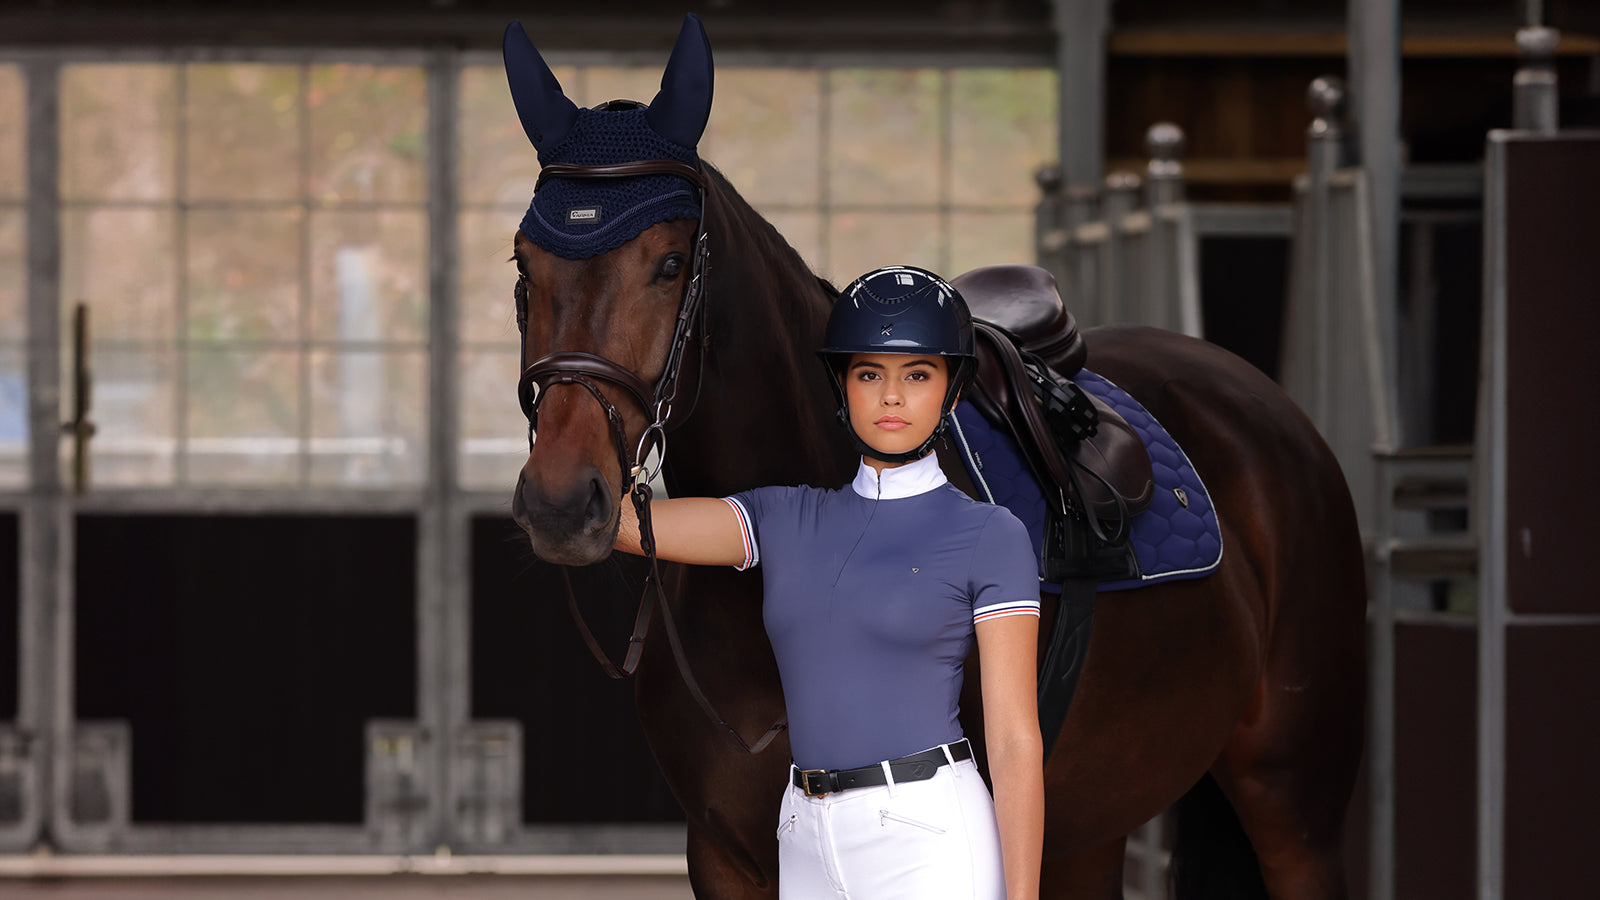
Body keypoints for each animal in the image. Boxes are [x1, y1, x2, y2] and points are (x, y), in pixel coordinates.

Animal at [506, 17, 1366, 900]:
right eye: (523, 264)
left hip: (1295, 799)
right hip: (1093, 825)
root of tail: (1260, 398)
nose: (561, 502)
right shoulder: (721, 857)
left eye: (671, 263)